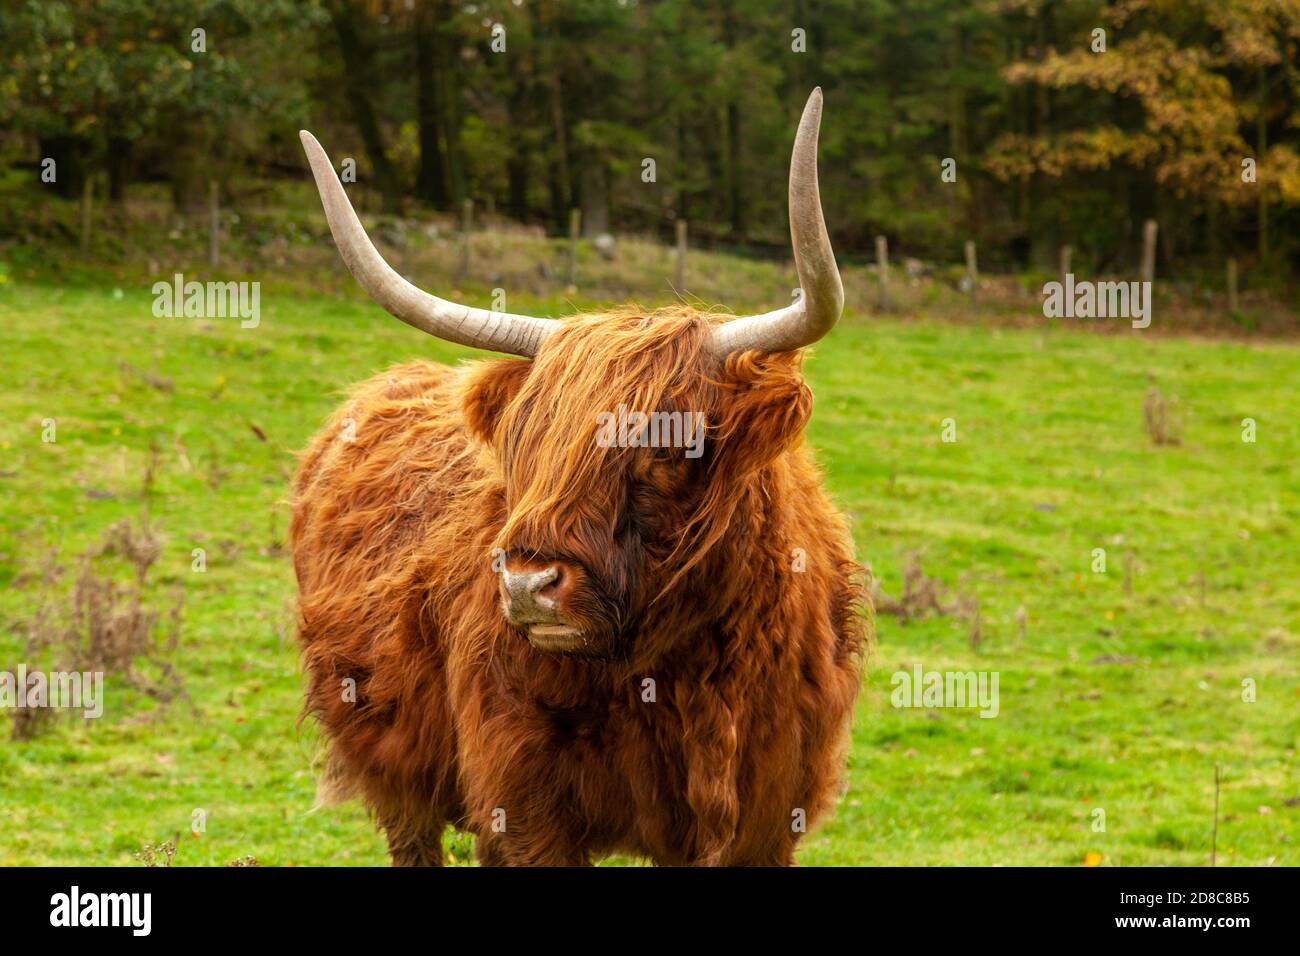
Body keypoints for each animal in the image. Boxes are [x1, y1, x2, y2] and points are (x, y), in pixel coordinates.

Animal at [291, 89, 869, 866]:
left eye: (669, 446)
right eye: (525, 445)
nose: (527, 585)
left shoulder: (769, 813)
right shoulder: (524, 800)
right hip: (391, 758)